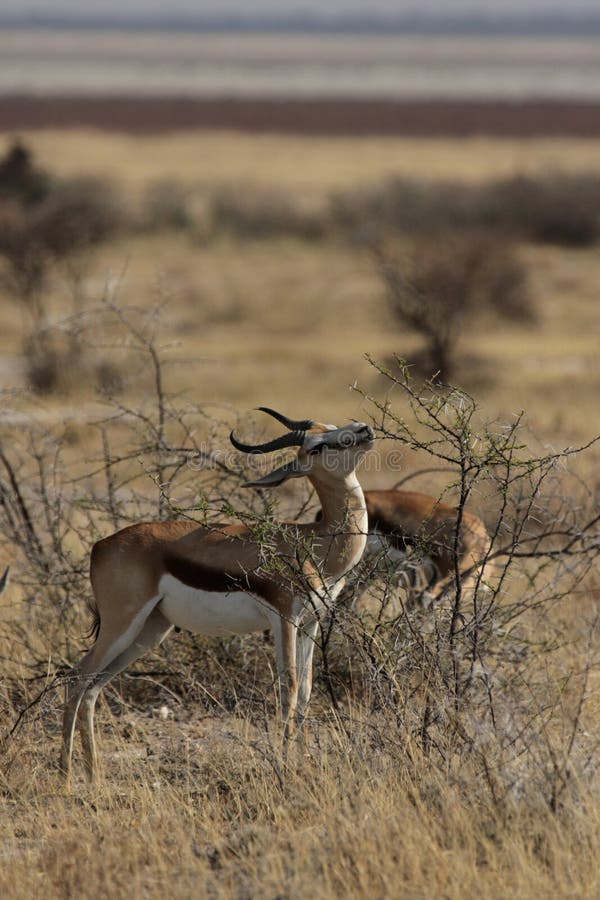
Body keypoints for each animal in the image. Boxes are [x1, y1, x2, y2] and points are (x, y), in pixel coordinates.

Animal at [61, 408, 374, 780]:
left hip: (150, 631)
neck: (316, 543)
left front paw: (304, 765)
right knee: (76, 677)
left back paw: (94, 775)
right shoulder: (284, 617)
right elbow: (290, 688)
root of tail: (100, 546)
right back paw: (64, 774)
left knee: (94, 687)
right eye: (316, 446)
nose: (364, 429)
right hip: (121, 625)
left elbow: (308, 691)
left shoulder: (311, 622)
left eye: (334, 426)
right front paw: (286, 768)